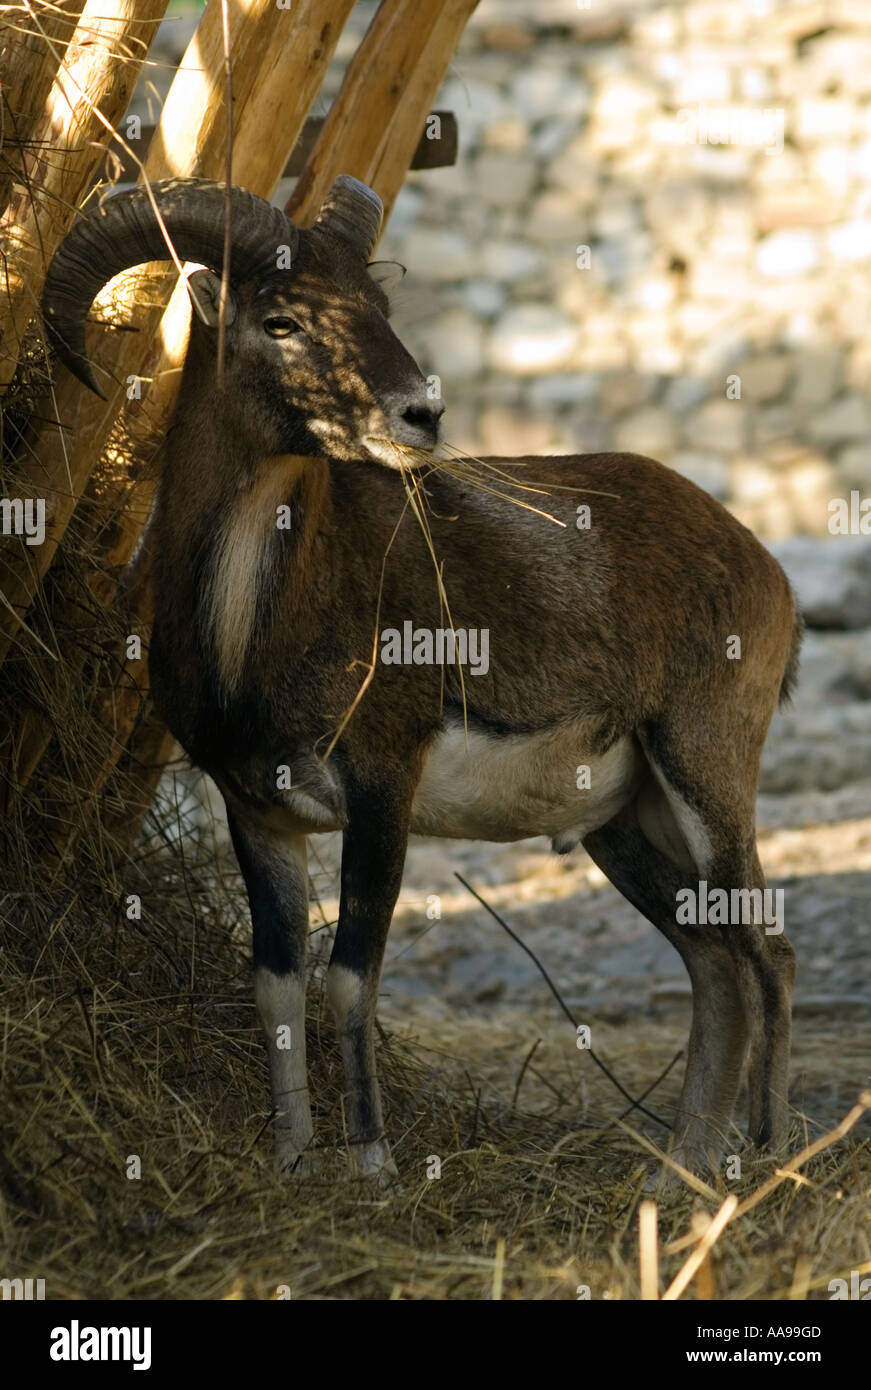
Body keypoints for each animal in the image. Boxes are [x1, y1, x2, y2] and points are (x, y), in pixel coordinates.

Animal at [43, 175, 801, 1182]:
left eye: (377, 307)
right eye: (281, 319)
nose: (420, 417)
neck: (255, 632)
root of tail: (761, 566)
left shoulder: (382, 788)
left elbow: (349, 977)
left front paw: (373, 1168)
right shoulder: (259, 814)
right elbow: (276, 987)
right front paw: (292, 1162)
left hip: (705, 772)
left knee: (765, 955)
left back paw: (762, 1160)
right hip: (623, 826)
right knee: (714, 960)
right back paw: (676, 1171)